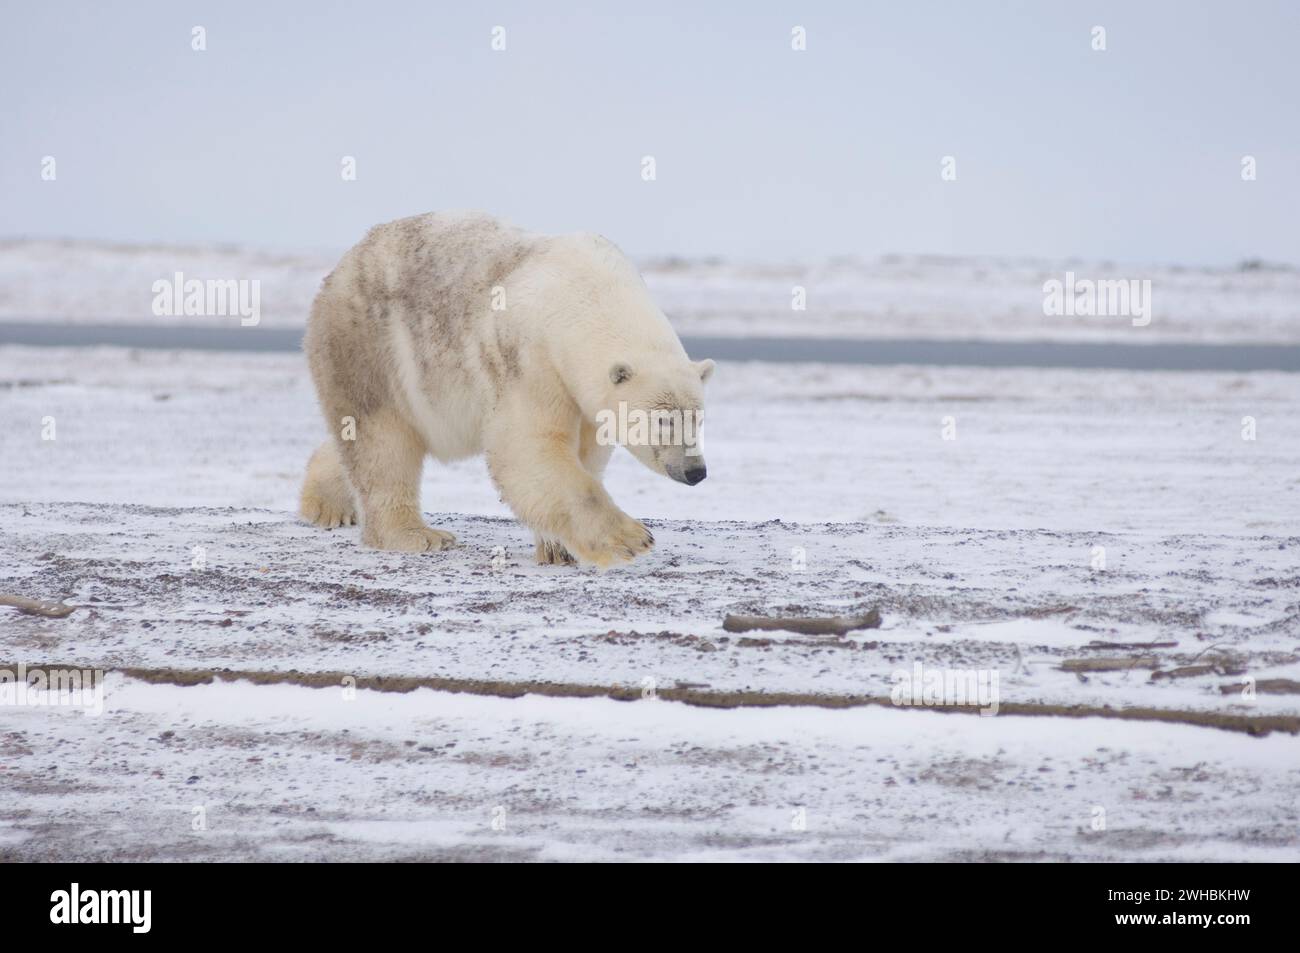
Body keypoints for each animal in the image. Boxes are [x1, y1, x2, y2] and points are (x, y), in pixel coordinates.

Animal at [300, 211, 714, 568]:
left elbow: (583, 453)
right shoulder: (528, 355)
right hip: (371, 346)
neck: (586, 292)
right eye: (662, 421)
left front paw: (557, 548)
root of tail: (341, 268)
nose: (695, 470)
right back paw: (417, 534)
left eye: (697, 419)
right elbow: (528, 448)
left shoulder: (580, 394)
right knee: (382, 439)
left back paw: (327, 505)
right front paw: (629, 538)